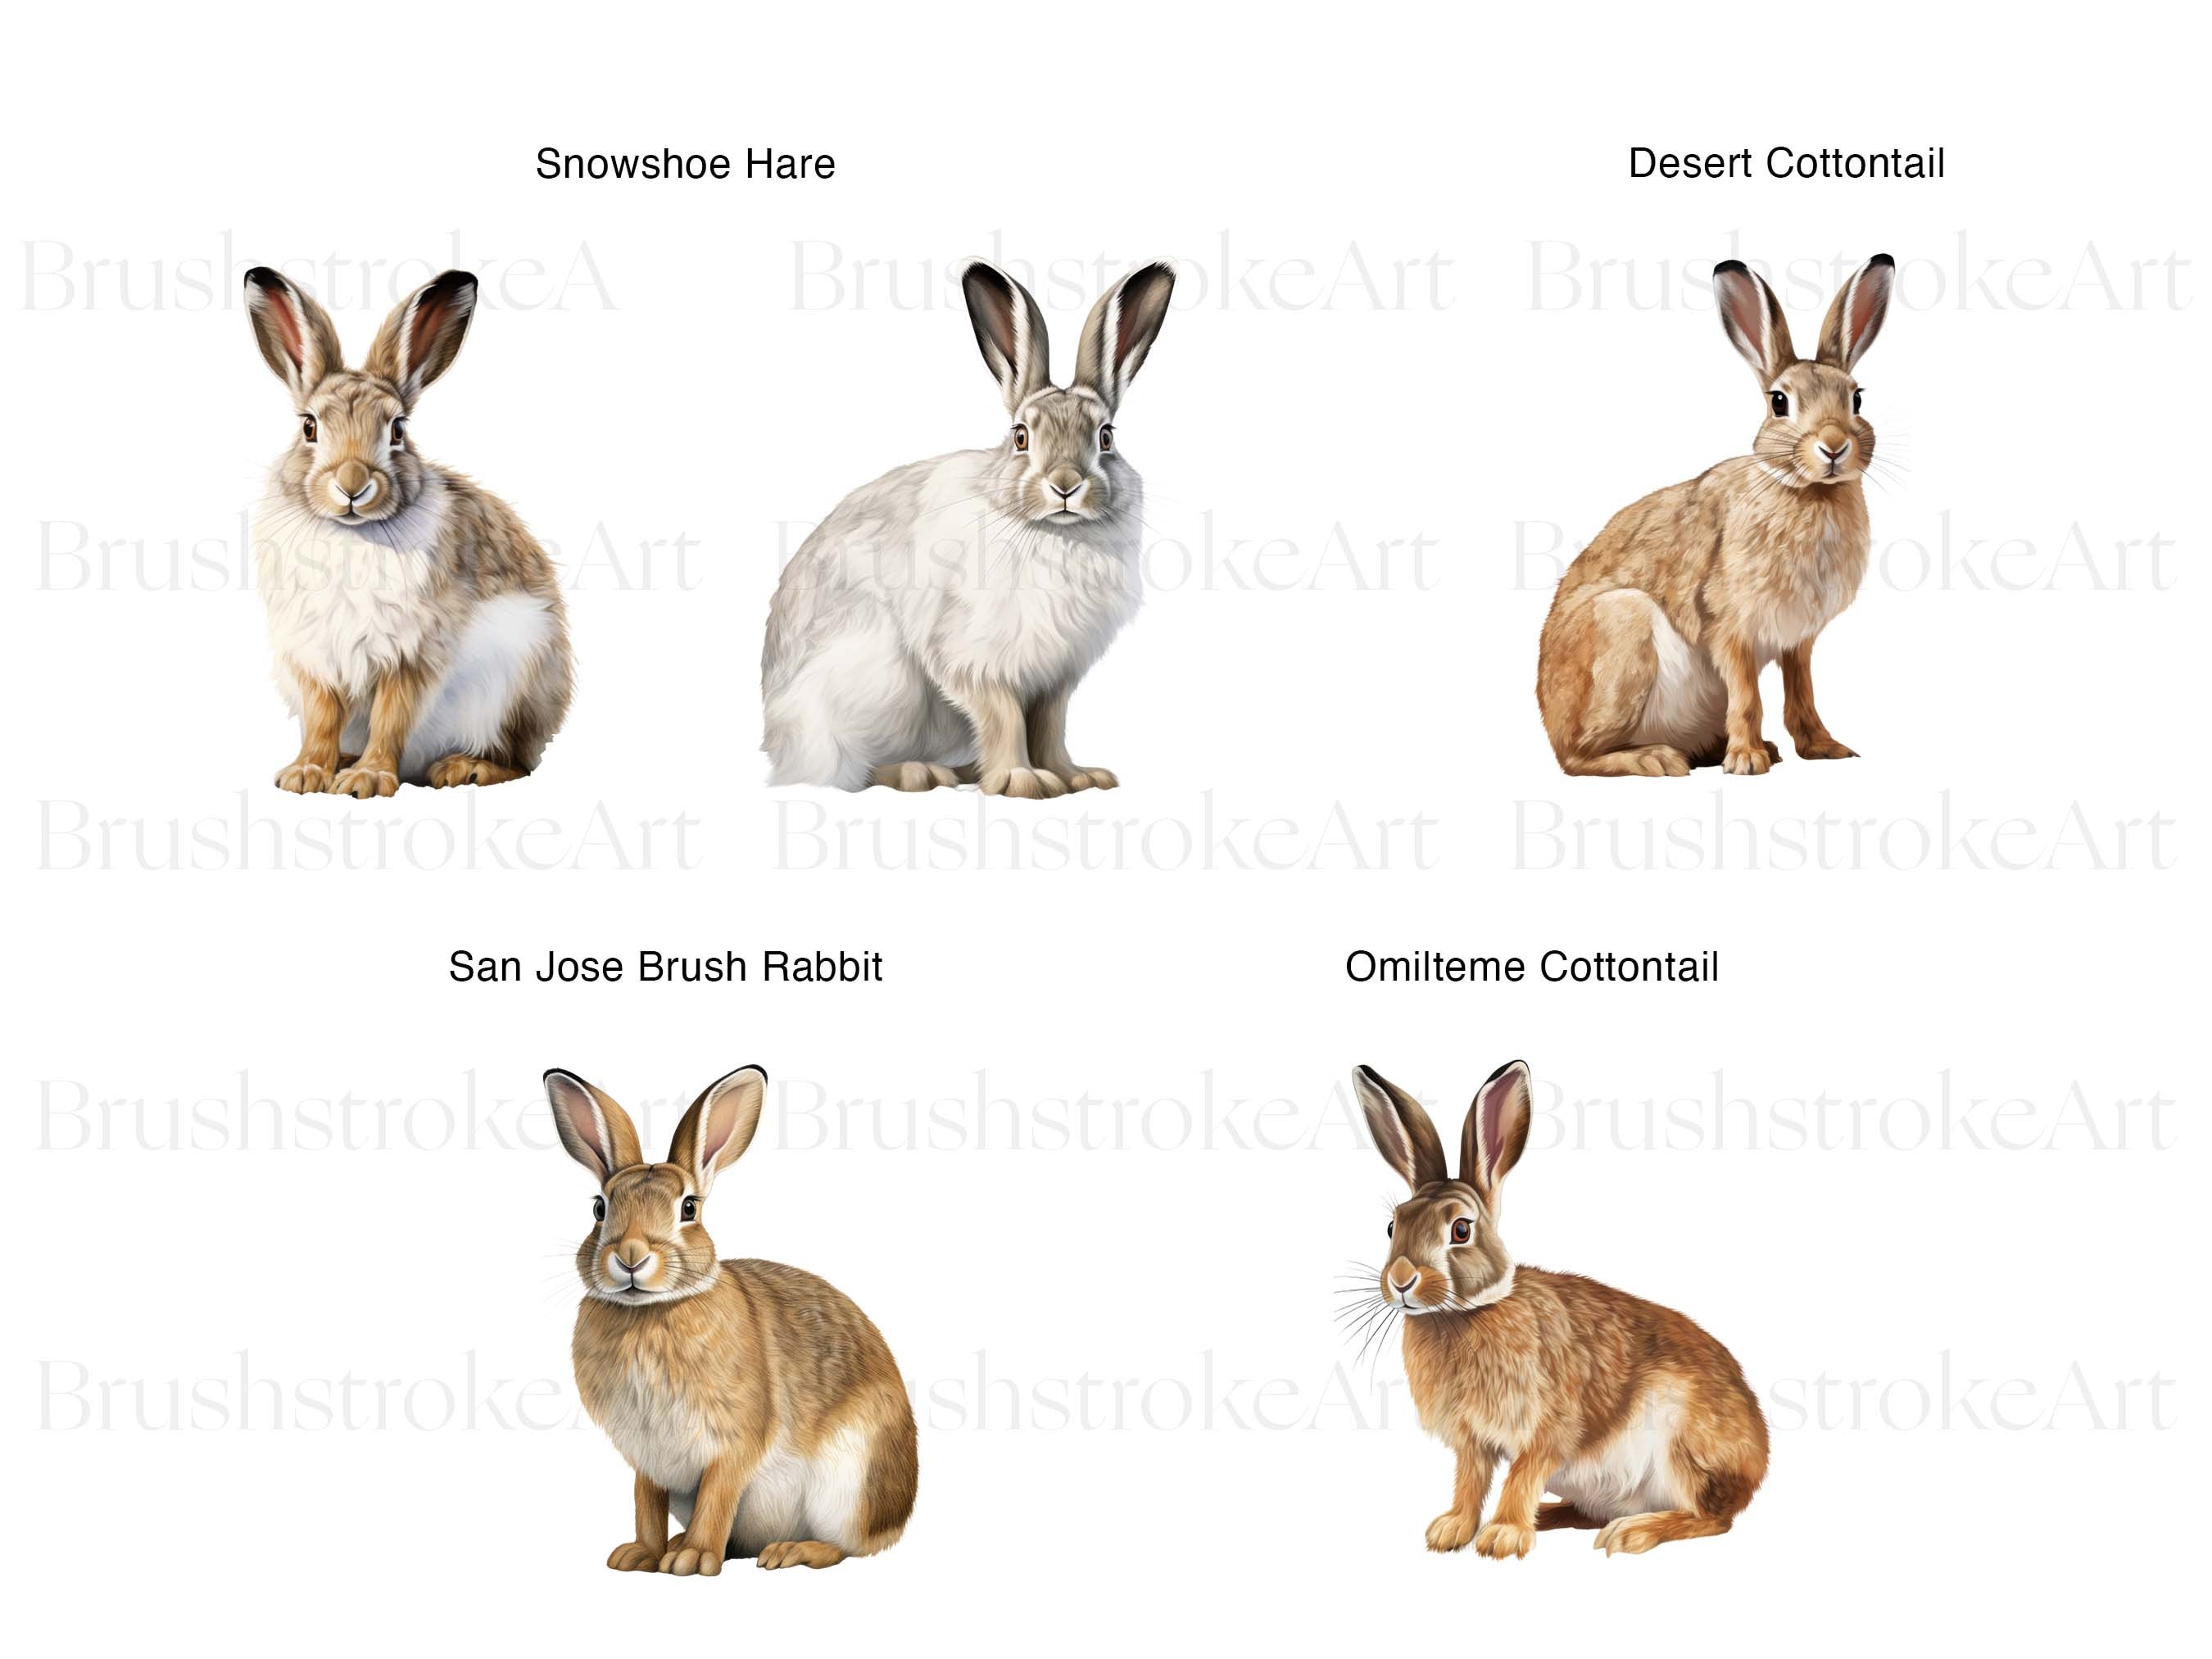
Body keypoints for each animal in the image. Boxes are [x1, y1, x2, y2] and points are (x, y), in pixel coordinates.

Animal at [244, 265, 573, 797]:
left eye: (397, 430)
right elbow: (321, 719)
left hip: (518, 683)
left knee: (519, 761)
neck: (353, 534)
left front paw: (367, 780)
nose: (352, 485)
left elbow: (392, 716)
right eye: (309, 428)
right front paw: (305, 774)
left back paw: (463, 769)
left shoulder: (412, 653)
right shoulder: (314, 659)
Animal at [543, 1065, 918, 1575]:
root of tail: (896, 1517)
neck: (650, 1312)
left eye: (689, 1208)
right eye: (600, 1208)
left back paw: (787, 1551)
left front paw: (694, 1560)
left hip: (850, 1484)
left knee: (847, 1545)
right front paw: (640, 1554)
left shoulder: (734, 1444)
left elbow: (718, 1497)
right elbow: (646, 1502)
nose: (631, 1255)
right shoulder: (647, 1459)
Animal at [761, 256, 1176, 795]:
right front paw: (1022, 780)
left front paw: (1075, 776)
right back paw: (920, 772)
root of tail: (778, 740)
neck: (1054, 533)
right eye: (1020, 437)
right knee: (849, 768)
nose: (1065, 484)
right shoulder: (973, 659)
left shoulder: (1055, 679)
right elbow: (1003, 717)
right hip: (876, 687)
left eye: (1106, 438)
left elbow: (1049, 725)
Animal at [1351, 1060, 1767, 1558]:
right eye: (1392, 1226)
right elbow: (1470, 1481)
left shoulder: (1547, 1429)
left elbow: (1521, 1475)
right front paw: (1451, 1529)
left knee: (1712, 1517)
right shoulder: (1472, 1441)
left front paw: (1503, 1536)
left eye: (1460, 1230)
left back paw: (1633, 1532)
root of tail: (1758, 1464)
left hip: (1679, 1447)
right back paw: (1551, 1515)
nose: (1401, 1281)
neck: (1463, 1314)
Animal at [1537, 254, 1896, 776]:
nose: (1833, 446)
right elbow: (1747, 698)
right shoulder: (1731, 628)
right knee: (1577, 759)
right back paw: (1659, 759)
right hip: (1621, 632)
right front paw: (1746, 762)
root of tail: (1550, 721)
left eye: (1857, 398)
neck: (1809, 493)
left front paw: (1825, 749)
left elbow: (1801, 696)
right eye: (1779, 402)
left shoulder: (1798, 643)